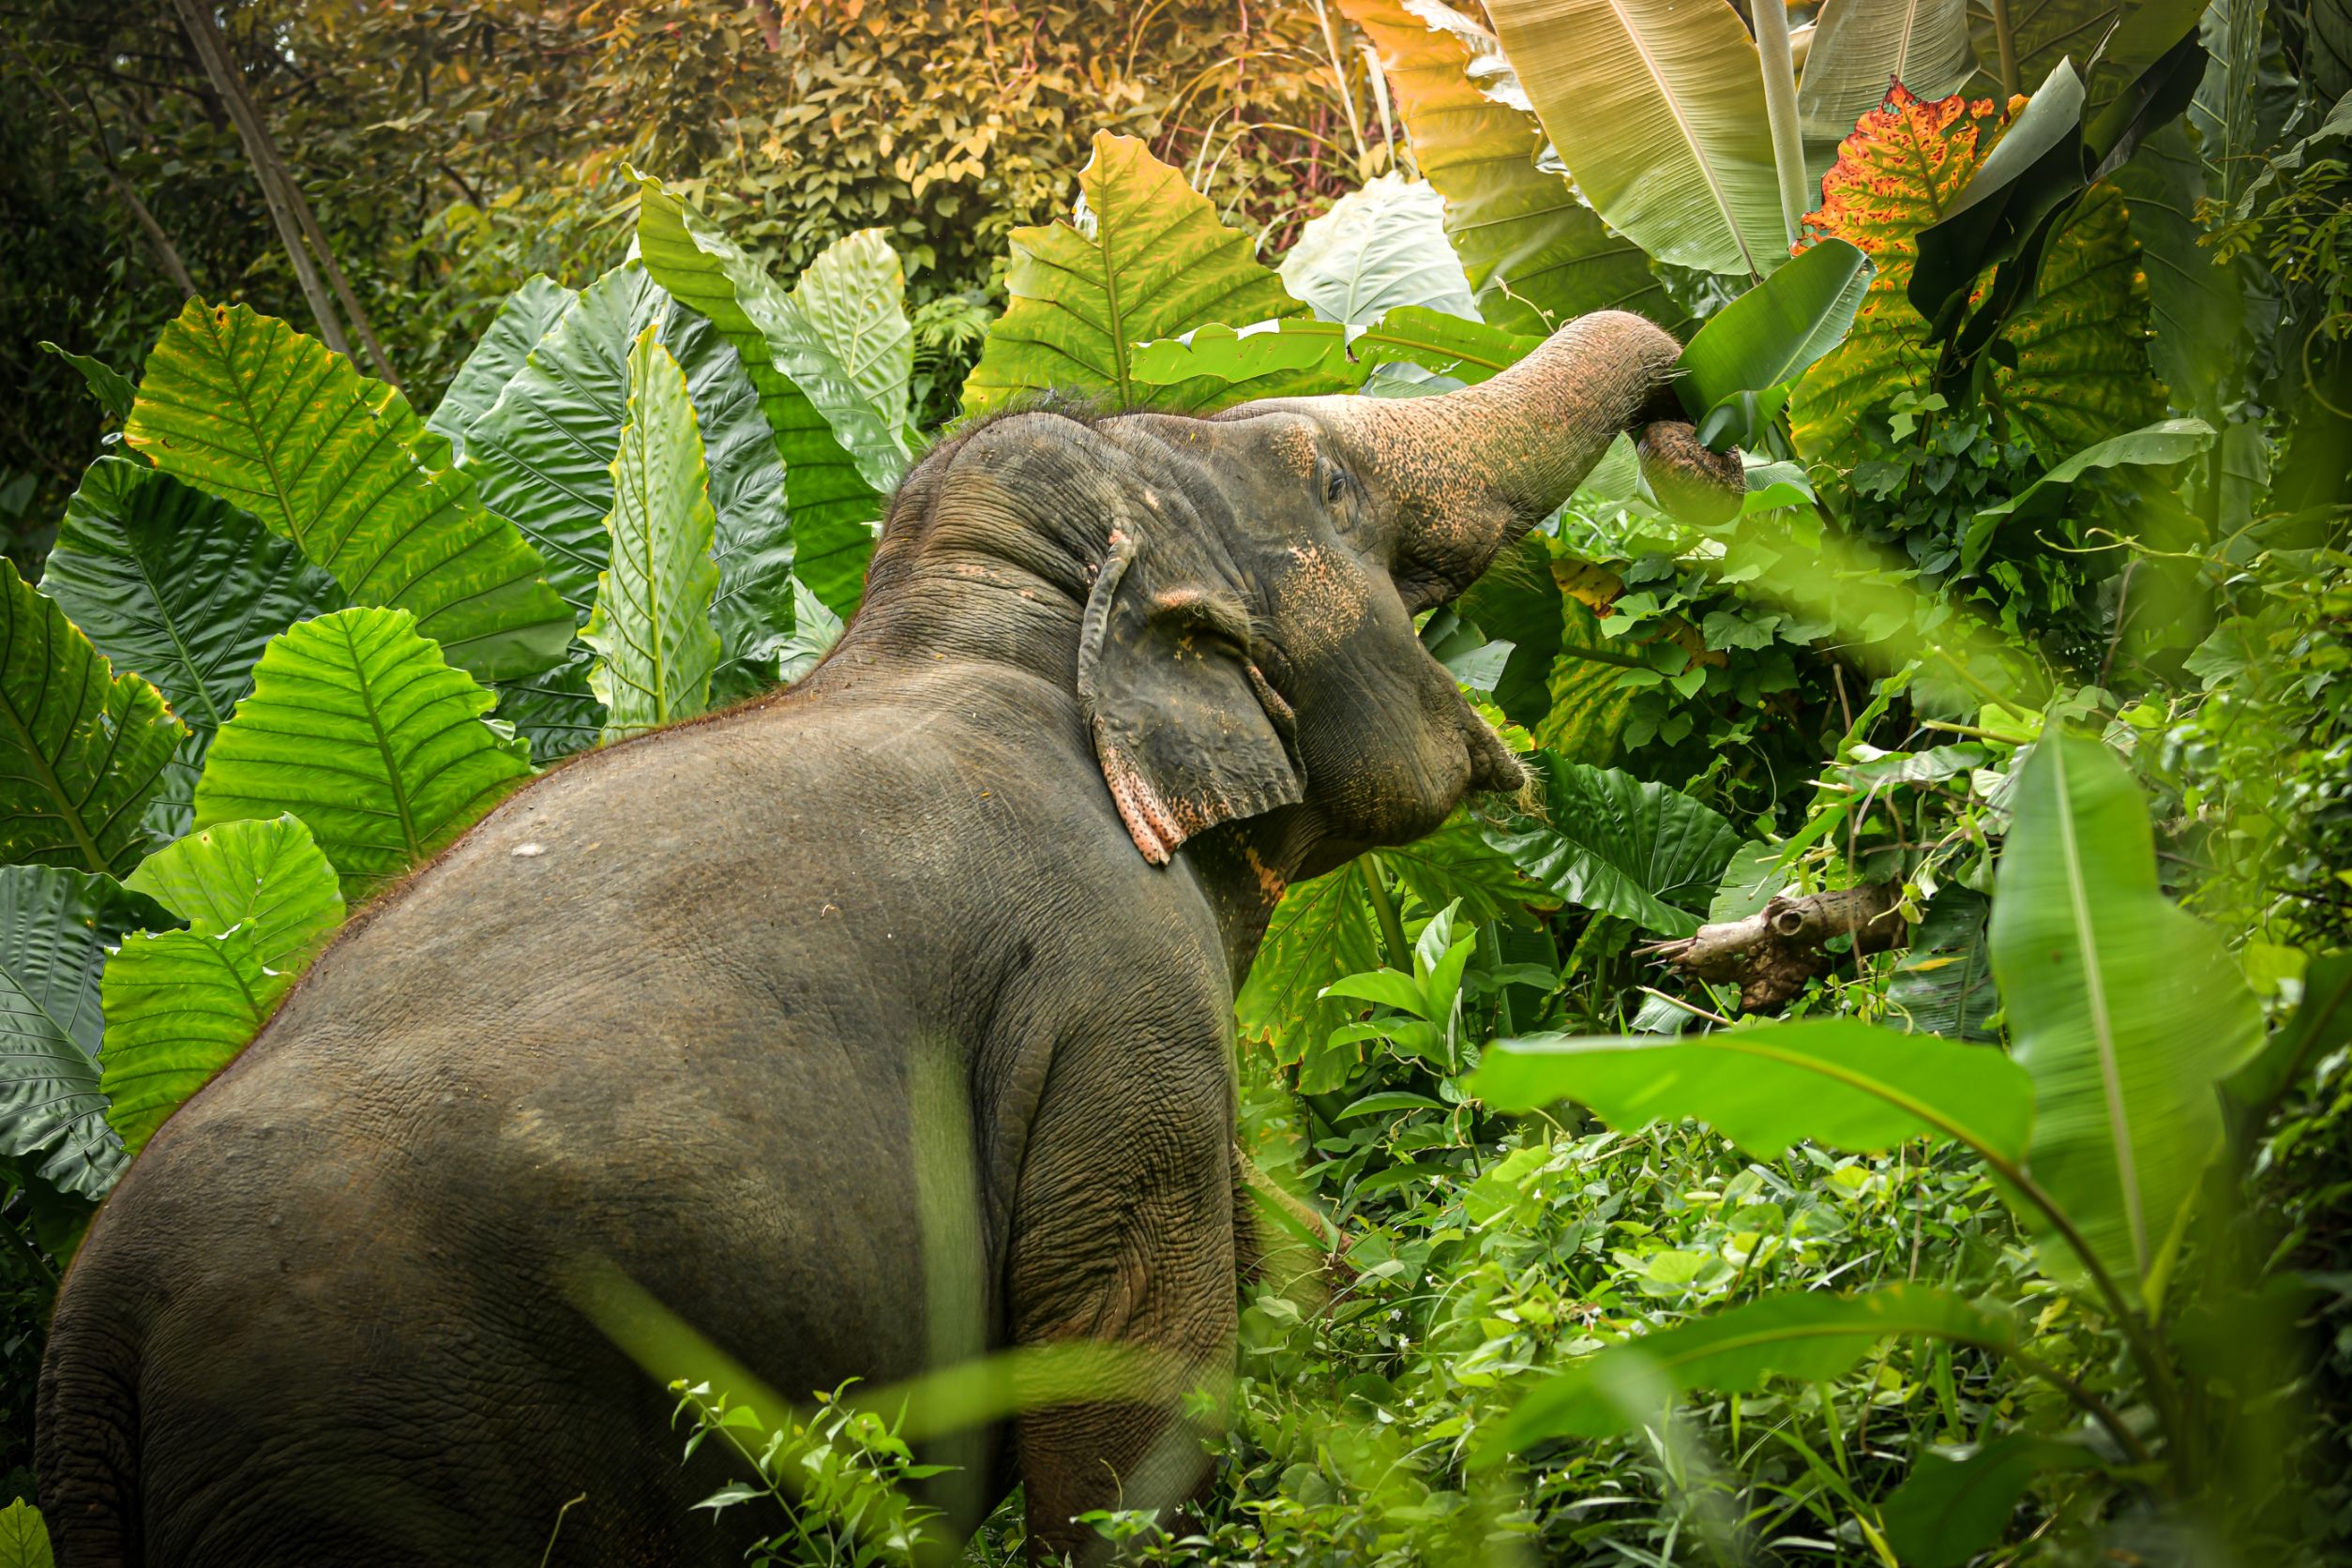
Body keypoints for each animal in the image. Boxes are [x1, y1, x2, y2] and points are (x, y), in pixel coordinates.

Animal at [36, 309, 1740, 1566]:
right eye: (1322, 476)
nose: (1700, 435)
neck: (992, 627)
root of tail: (89, 1361)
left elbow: (1280, 1260)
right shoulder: (1111, 977)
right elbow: (1128, 1368)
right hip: (383, 1459)